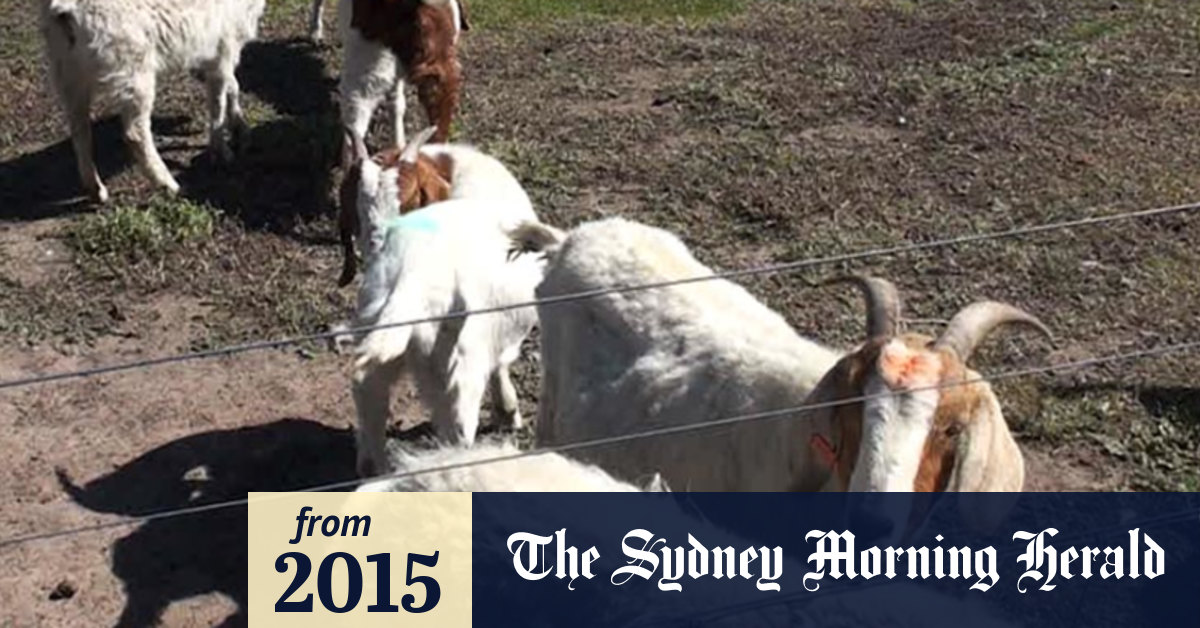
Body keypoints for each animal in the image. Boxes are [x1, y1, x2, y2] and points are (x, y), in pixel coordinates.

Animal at [39, 0, 265, 202]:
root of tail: (65, 9)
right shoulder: (223, 45)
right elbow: (219, 99)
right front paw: (223, 151)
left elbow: (231, 86)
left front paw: (240, 130)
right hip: (132, 69)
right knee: (135, 133)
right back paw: (169, 185)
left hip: (68, 73)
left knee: (80, 131)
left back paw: (96, 190)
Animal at [347, 137, 546, 477]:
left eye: (408, 197)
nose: (375, 246)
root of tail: (411, 279)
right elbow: (502, 364)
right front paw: (508, 412)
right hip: (460, 372)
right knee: (457, 431)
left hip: (378, 352)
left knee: (369, 408)